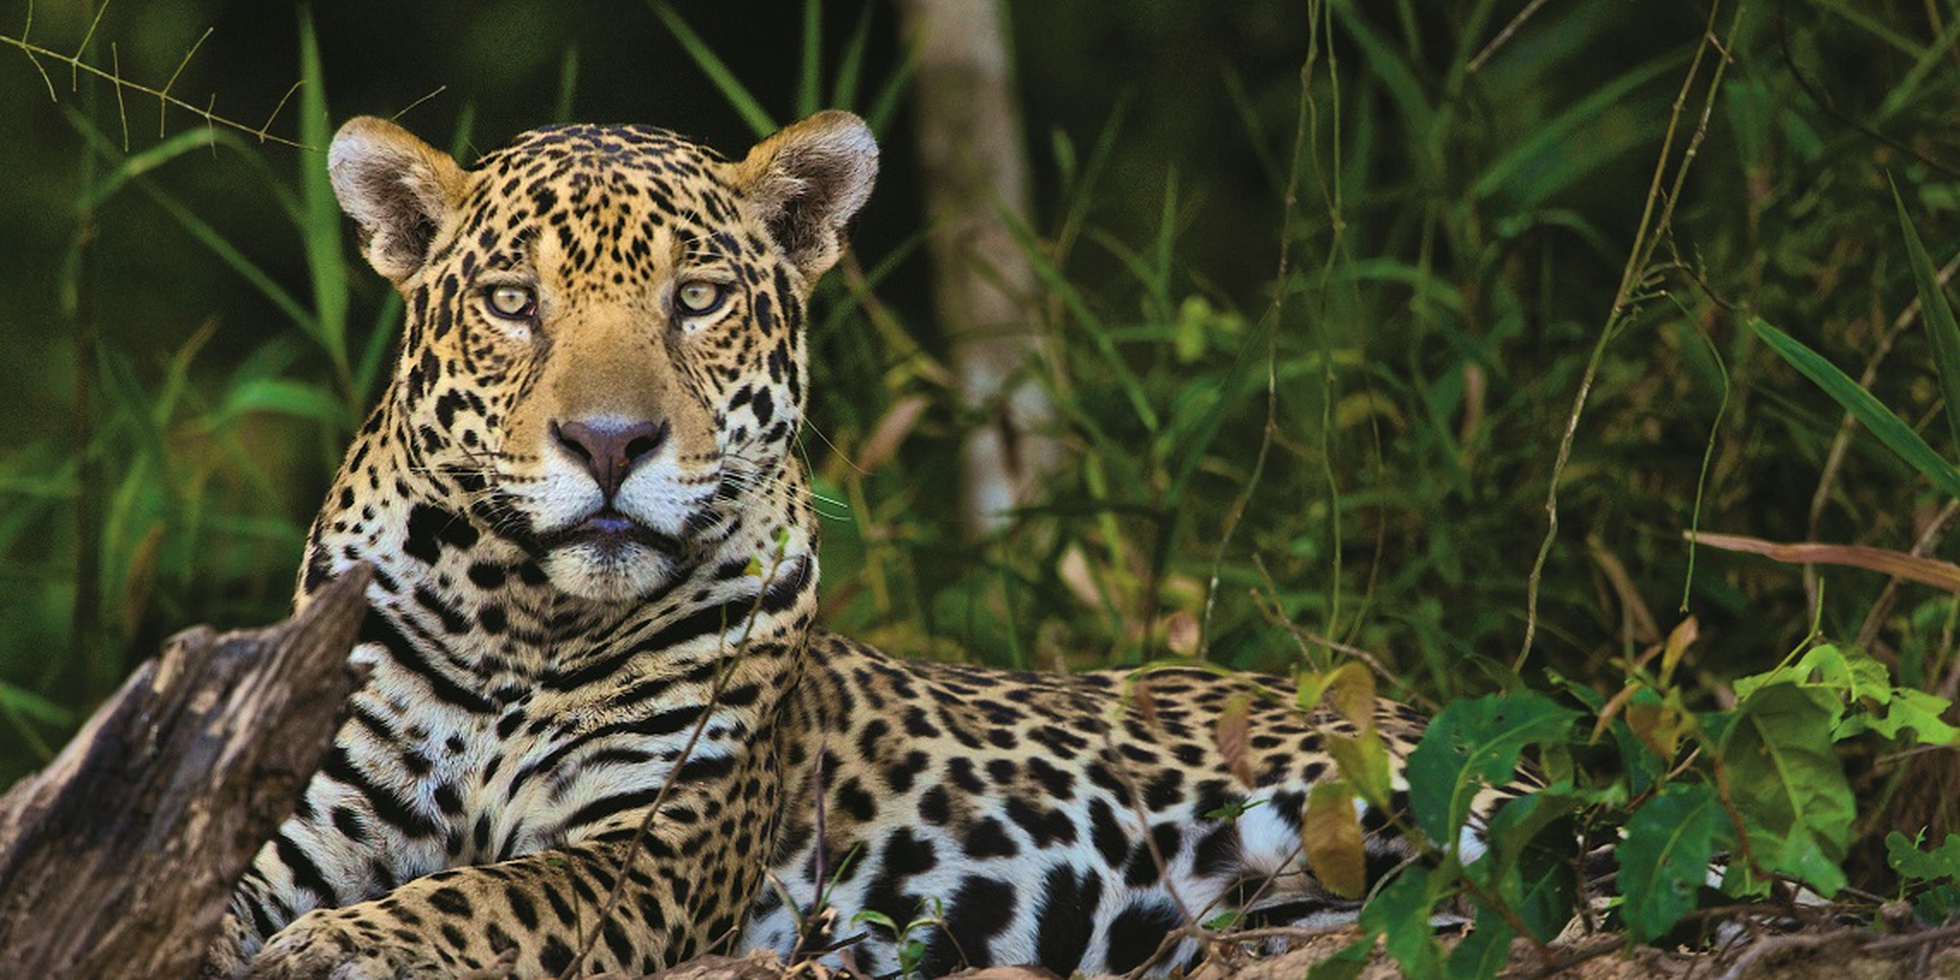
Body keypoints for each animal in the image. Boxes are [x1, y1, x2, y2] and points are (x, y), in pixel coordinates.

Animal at [206, 109, 1515, 980]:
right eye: (512, 303)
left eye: (697, 300)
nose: (611, 441)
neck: (520, 617)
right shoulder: (305, 807)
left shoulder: (650, 846)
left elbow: (480, 893)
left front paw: (334, 943)